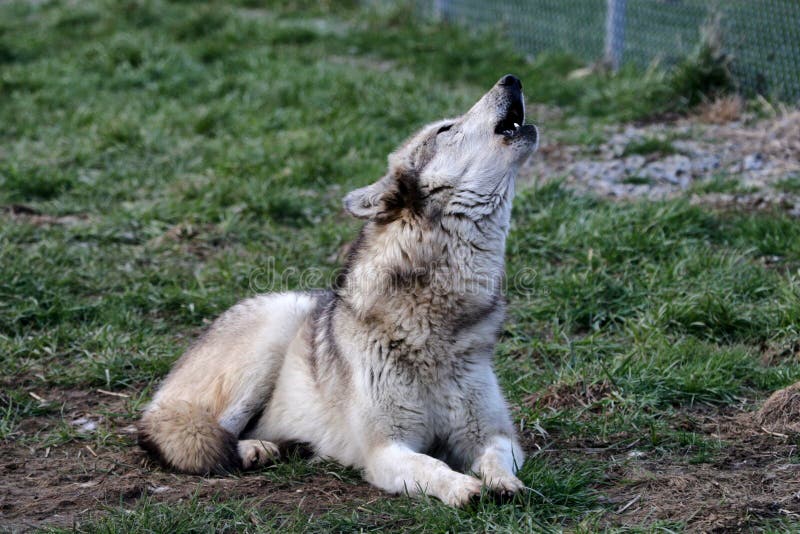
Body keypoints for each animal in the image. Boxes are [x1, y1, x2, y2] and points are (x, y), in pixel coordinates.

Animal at [138, 74, 539, 506]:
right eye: (445, 129)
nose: (512, 79)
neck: (433, 316)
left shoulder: (493, 434)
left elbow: (496, 459)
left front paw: (504, 484)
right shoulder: (385, 450)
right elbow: (431, 465)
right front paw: (464, 488)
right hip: (275, 331)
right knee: (202, 436)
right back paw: (251, 450)